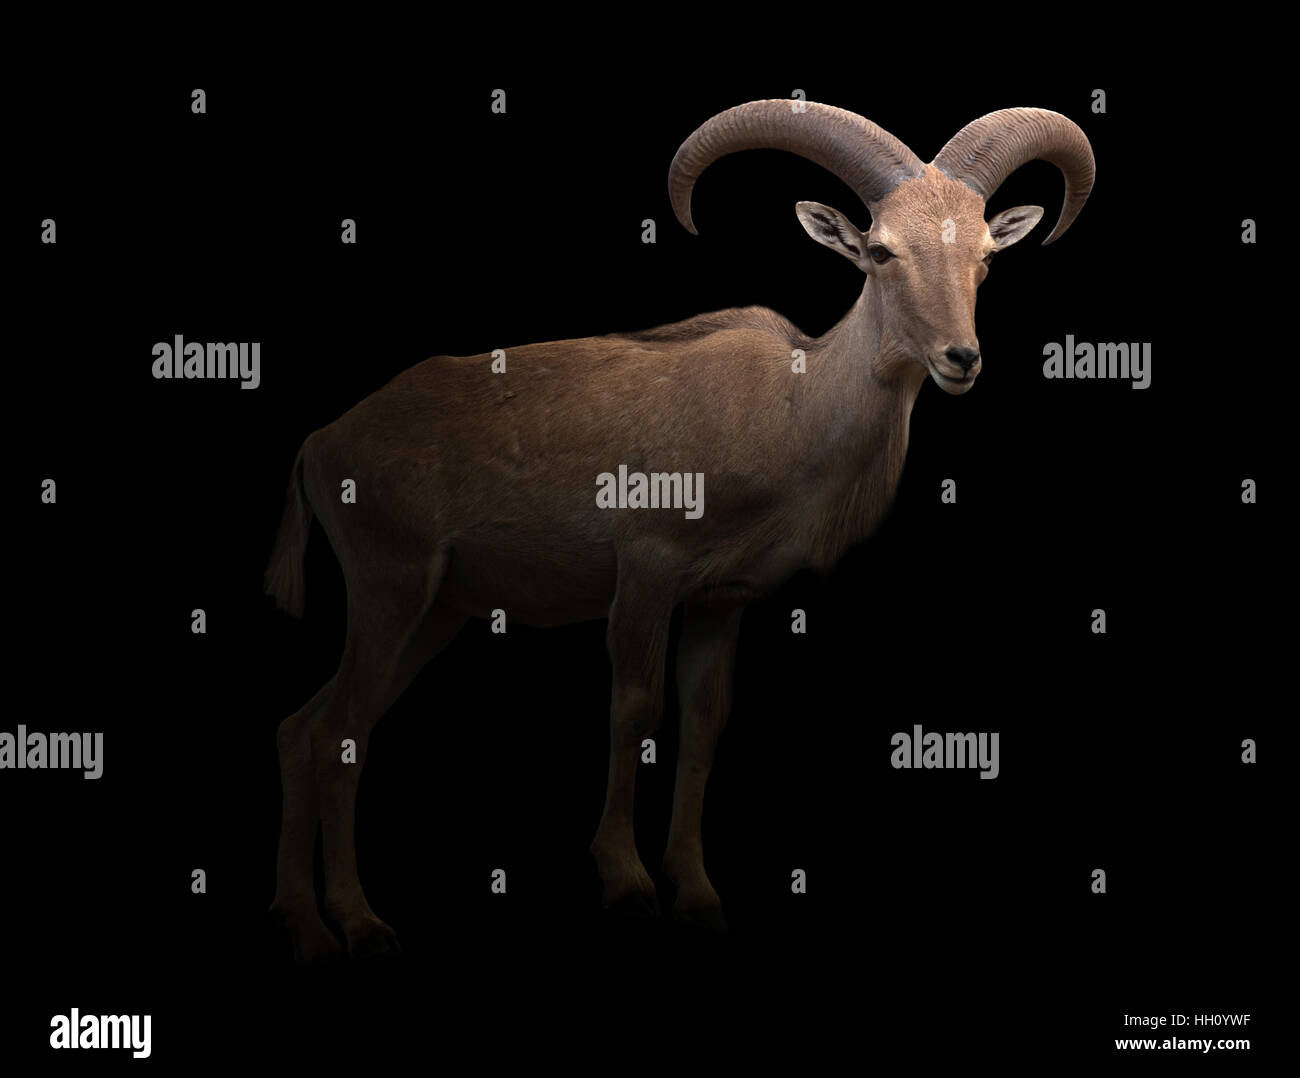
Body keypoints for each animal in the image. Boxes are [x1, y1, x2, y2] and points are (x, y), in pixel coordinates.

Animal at [265, 99, 1095, 959]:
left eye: (986, 257)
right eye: (879, 250)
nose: (960, 357)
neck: (788, 410)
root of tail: (321, 443)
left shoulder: (720, 599)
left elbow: (703, 723)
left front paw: (696, 895)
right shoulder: (646, 572)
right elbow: (635, 707)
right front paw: (627, 882)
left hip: (439, 609)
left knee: (305, 730)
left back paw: (306, 922)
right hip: (390, 583)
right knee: (337, 734)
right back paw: (355, 924)